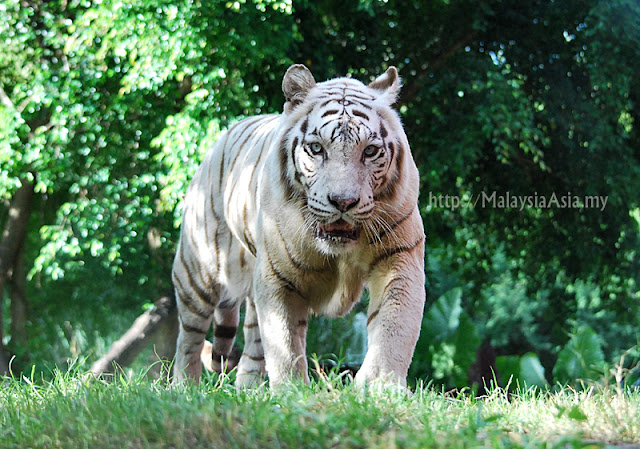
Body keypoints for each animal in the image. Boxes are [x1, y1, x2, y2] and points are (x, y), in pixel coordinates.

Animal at [171, 64, 426, 389]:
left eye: (369, 151)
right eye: (317, 148)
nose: (343, 202)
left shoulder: (399, 259)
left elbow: (393, 325)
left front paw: (379, 386)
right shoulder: (278, 276)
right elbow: (284, 341)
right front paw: (293, 391)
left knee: (252, 340)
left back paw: (248, 388)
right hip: (197, 270)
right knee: (188, 338)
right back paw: (183, 386)